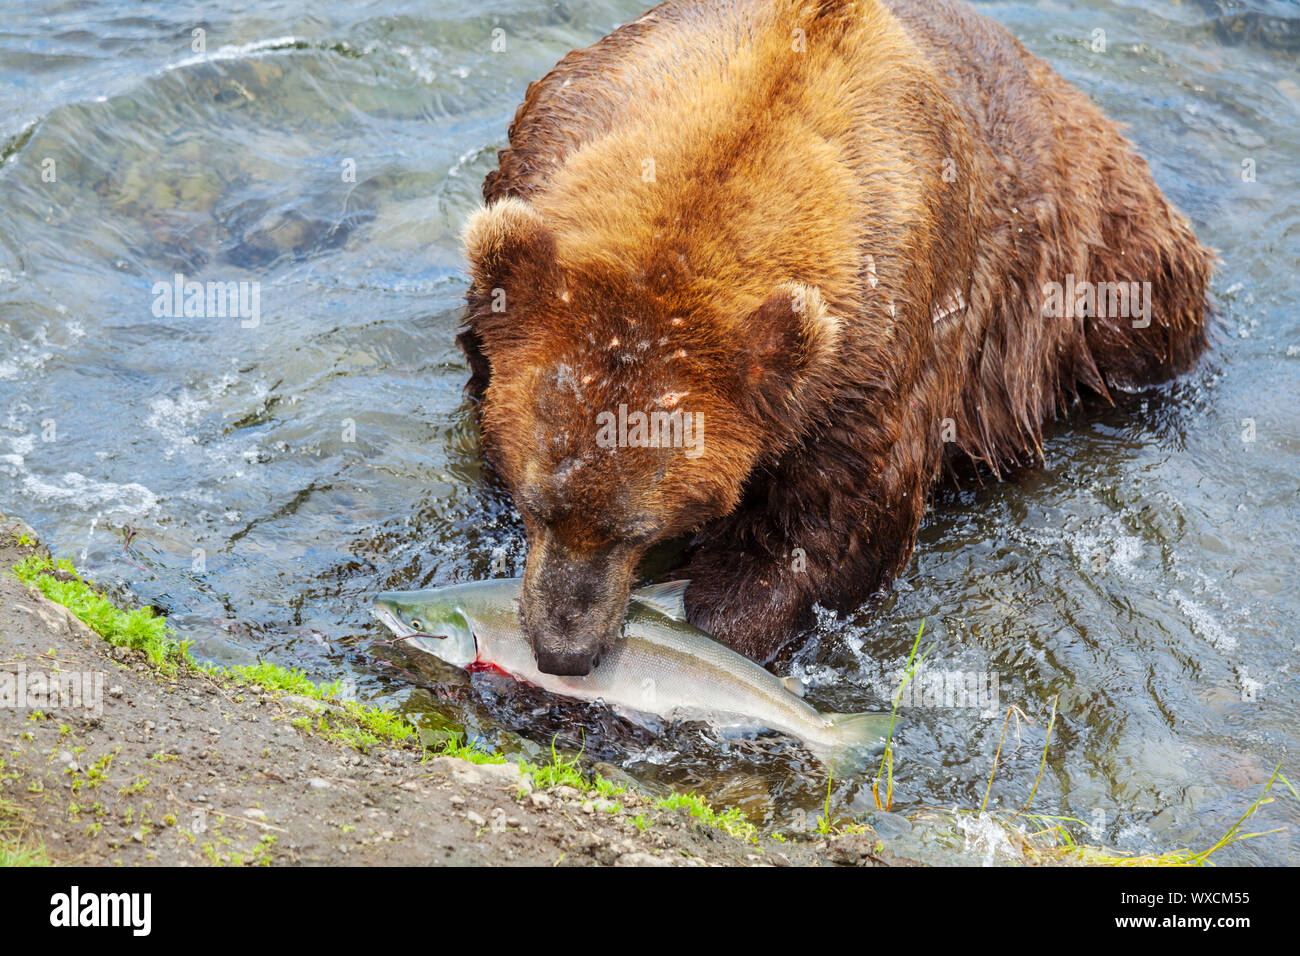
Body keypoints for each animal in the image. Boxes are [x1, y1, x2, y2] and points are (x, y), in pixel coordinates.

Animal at [458, 0, 1213, 676]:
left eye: (639, 529)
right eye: (535, 502)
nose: (564, 650)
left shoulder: (880, 349)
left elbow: (834, 527)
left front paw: (721, 622)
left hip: (1110, 273)